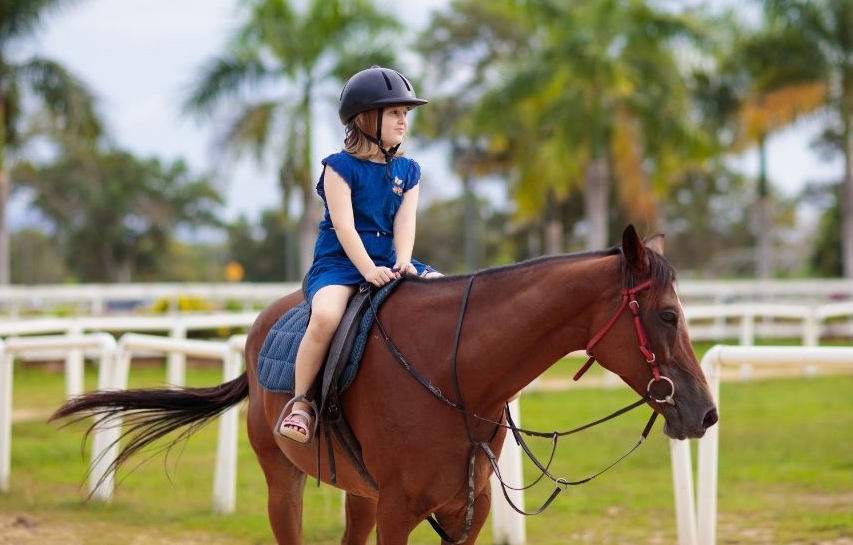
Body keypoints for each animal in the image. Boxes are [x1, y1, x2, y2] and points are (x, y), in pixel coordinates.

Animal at [52, 225, 718, 544]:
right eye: (668, 316)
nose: (706, 413)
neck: (458, 373)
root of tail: (266, 320)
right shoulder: (400, 512)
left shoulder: (464, 513)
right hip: (284, 480)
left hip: (360, 493)